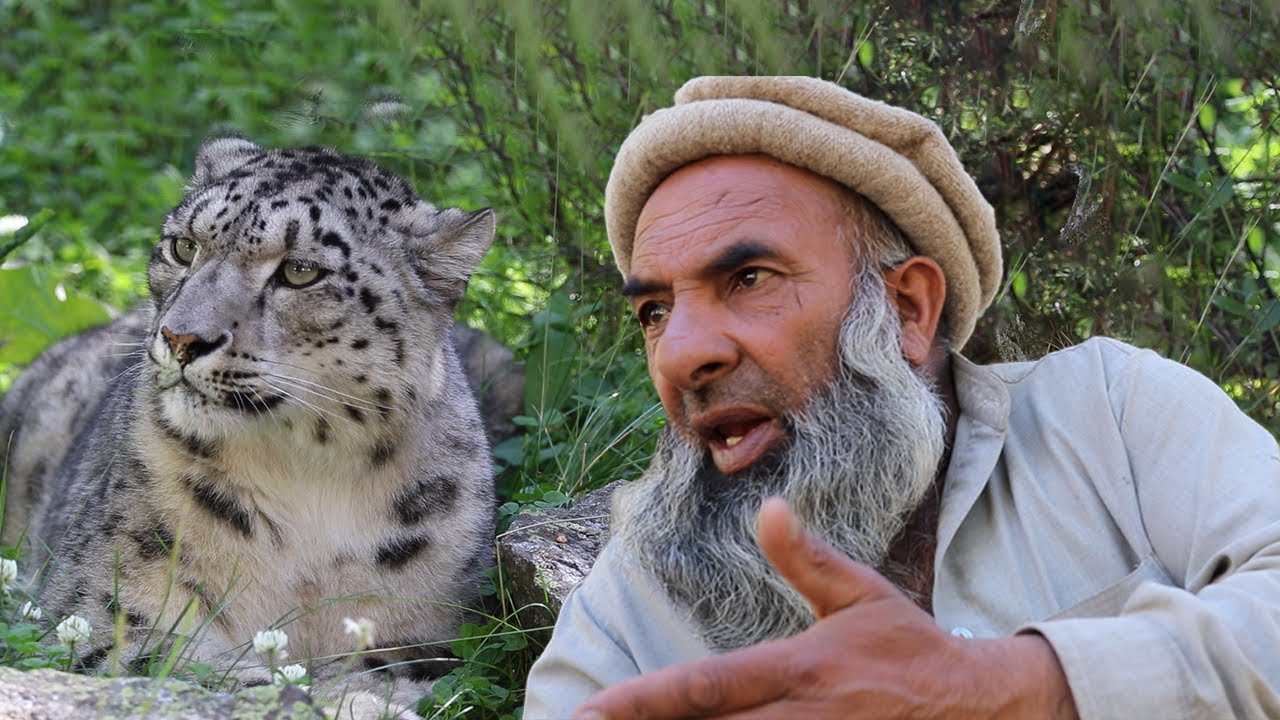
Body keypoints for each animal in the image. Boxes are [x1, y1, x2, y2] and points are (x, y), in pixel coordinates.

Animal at [0, 137, 501, 717]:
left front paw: (362, 698)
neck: (308, 476)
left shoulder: (425, 634)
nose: (181, 338)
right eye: (184, 247)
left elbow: (390, 669)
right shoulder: (104, 607)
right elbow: (189, 673)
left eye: (301, 271)